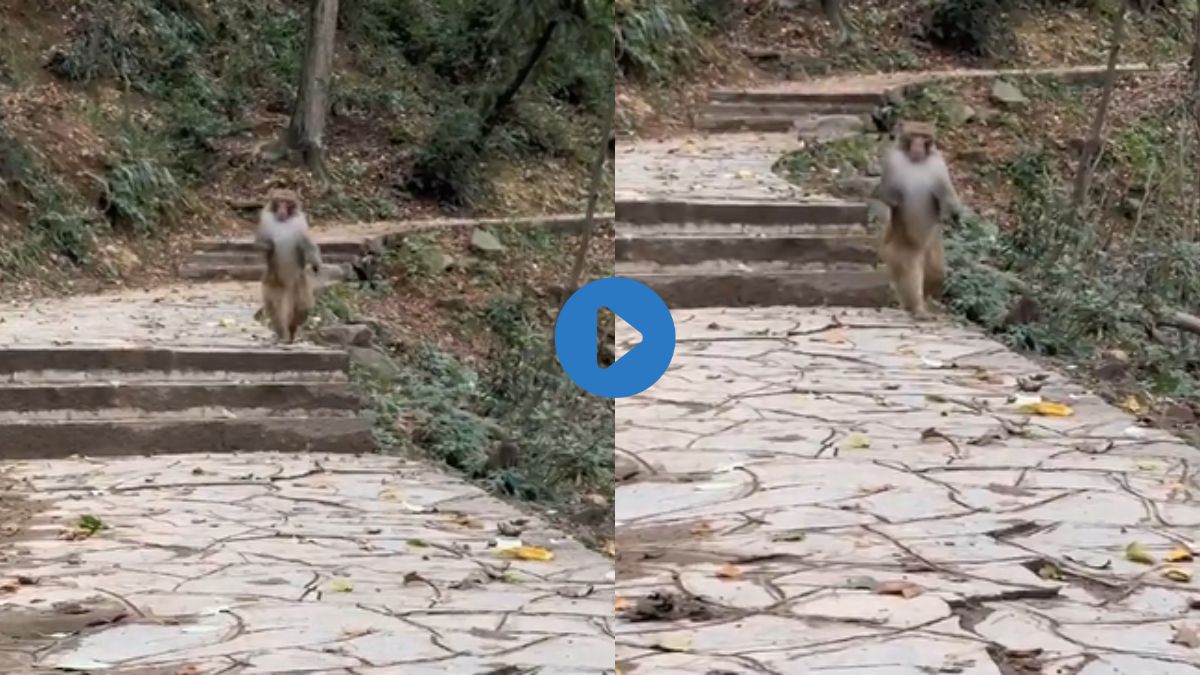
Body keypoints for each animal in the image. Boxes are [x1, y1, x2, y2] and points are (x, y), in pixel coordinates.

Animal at [255, 189, 322, 343]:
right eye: (279, 200)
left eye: (287, 202)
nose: (282, 210)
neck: (283, 222)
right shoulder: (264, 220)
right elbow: (261, 244)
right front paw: (269, 245)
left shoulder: (301, 222)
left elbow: (305, 244)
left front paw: (316, 263)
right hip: (273, 282)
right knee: (276, 307)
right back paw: (282, 334)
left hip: (299, 282)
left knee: (302, 308)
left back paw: (291, 330)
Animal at [874, 121, 964, 321]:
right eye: (914, 134)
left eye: (924, 136)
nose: (918, 145)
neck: (916, 161)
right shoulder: (891, 160)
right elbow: (885, 192)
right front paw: (895, 197)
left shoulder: (938, 161)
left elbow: (945, 193)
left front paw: (953, 214)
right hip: (900, 247)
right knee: (909, 270)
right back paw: (916, 308)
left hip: (932, 244)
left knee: (935, 271)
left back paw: (926, 301)